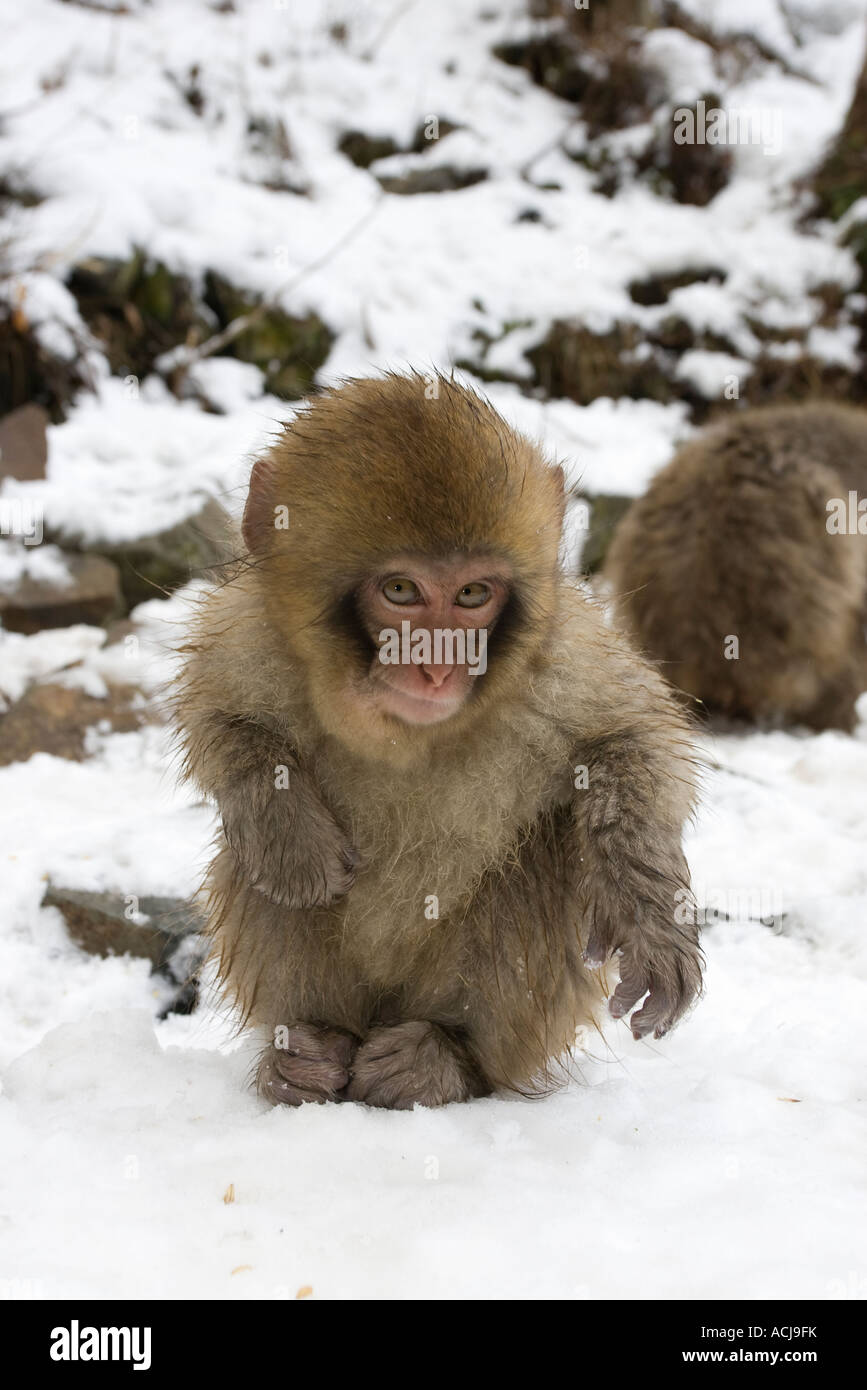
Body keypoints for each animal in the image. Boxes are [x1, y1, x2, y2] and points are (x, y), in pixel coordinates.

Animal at [175, 372, 702, 1110]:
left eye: (473, 593)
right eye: (401, 589)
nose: (437, 665)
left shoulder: (559, 660)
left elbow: (631, 741)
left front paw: (651, 922)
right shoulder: (253, 633)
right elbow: (220, 715)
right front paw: (284, 829)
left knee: (542, 854)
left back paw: (445, 1061)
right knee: (262, 875)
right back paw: (305, 1055)